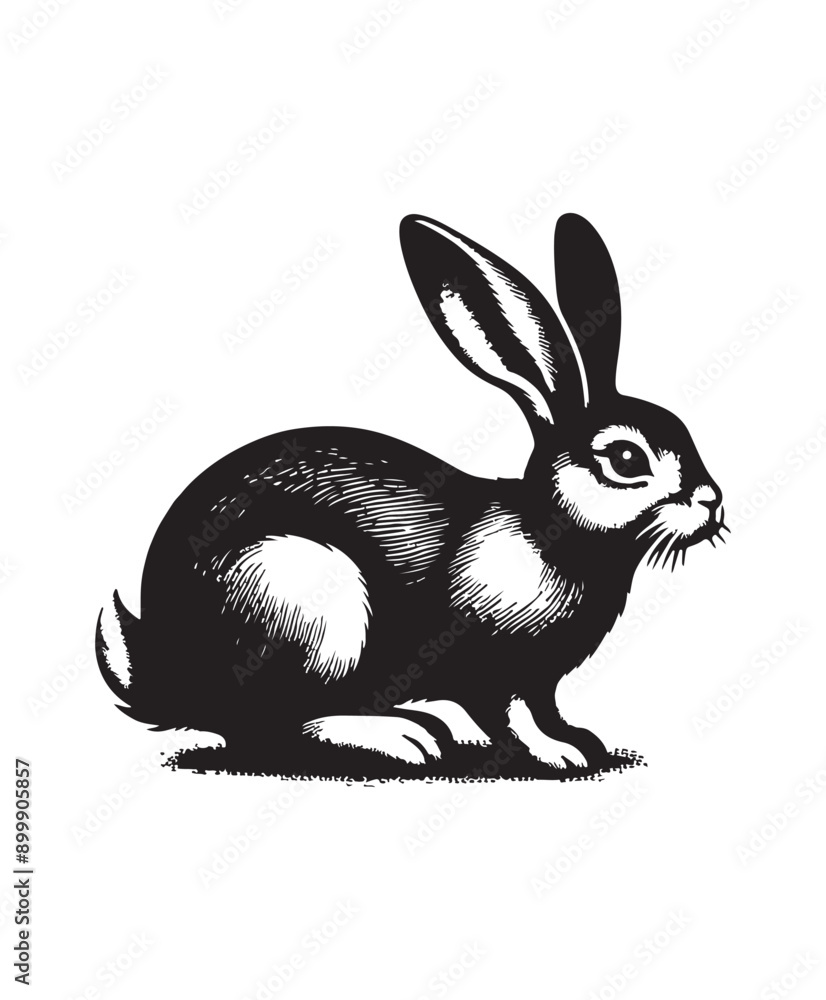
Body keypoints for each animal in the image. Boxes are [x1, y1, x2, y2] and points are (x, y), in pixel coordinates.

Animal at [96, 213, 725, 778]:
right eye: (626, 459)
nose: (712, 500)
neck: (553, 532)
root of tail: (174, 675)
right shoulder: (495, 670)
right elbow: (512, 714)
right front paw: (560, 754)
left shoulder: (539, 678)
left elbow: (542, 707)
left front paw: (576, 739)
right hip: (306, 602)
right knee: (277, 720)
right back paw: (404, 738)